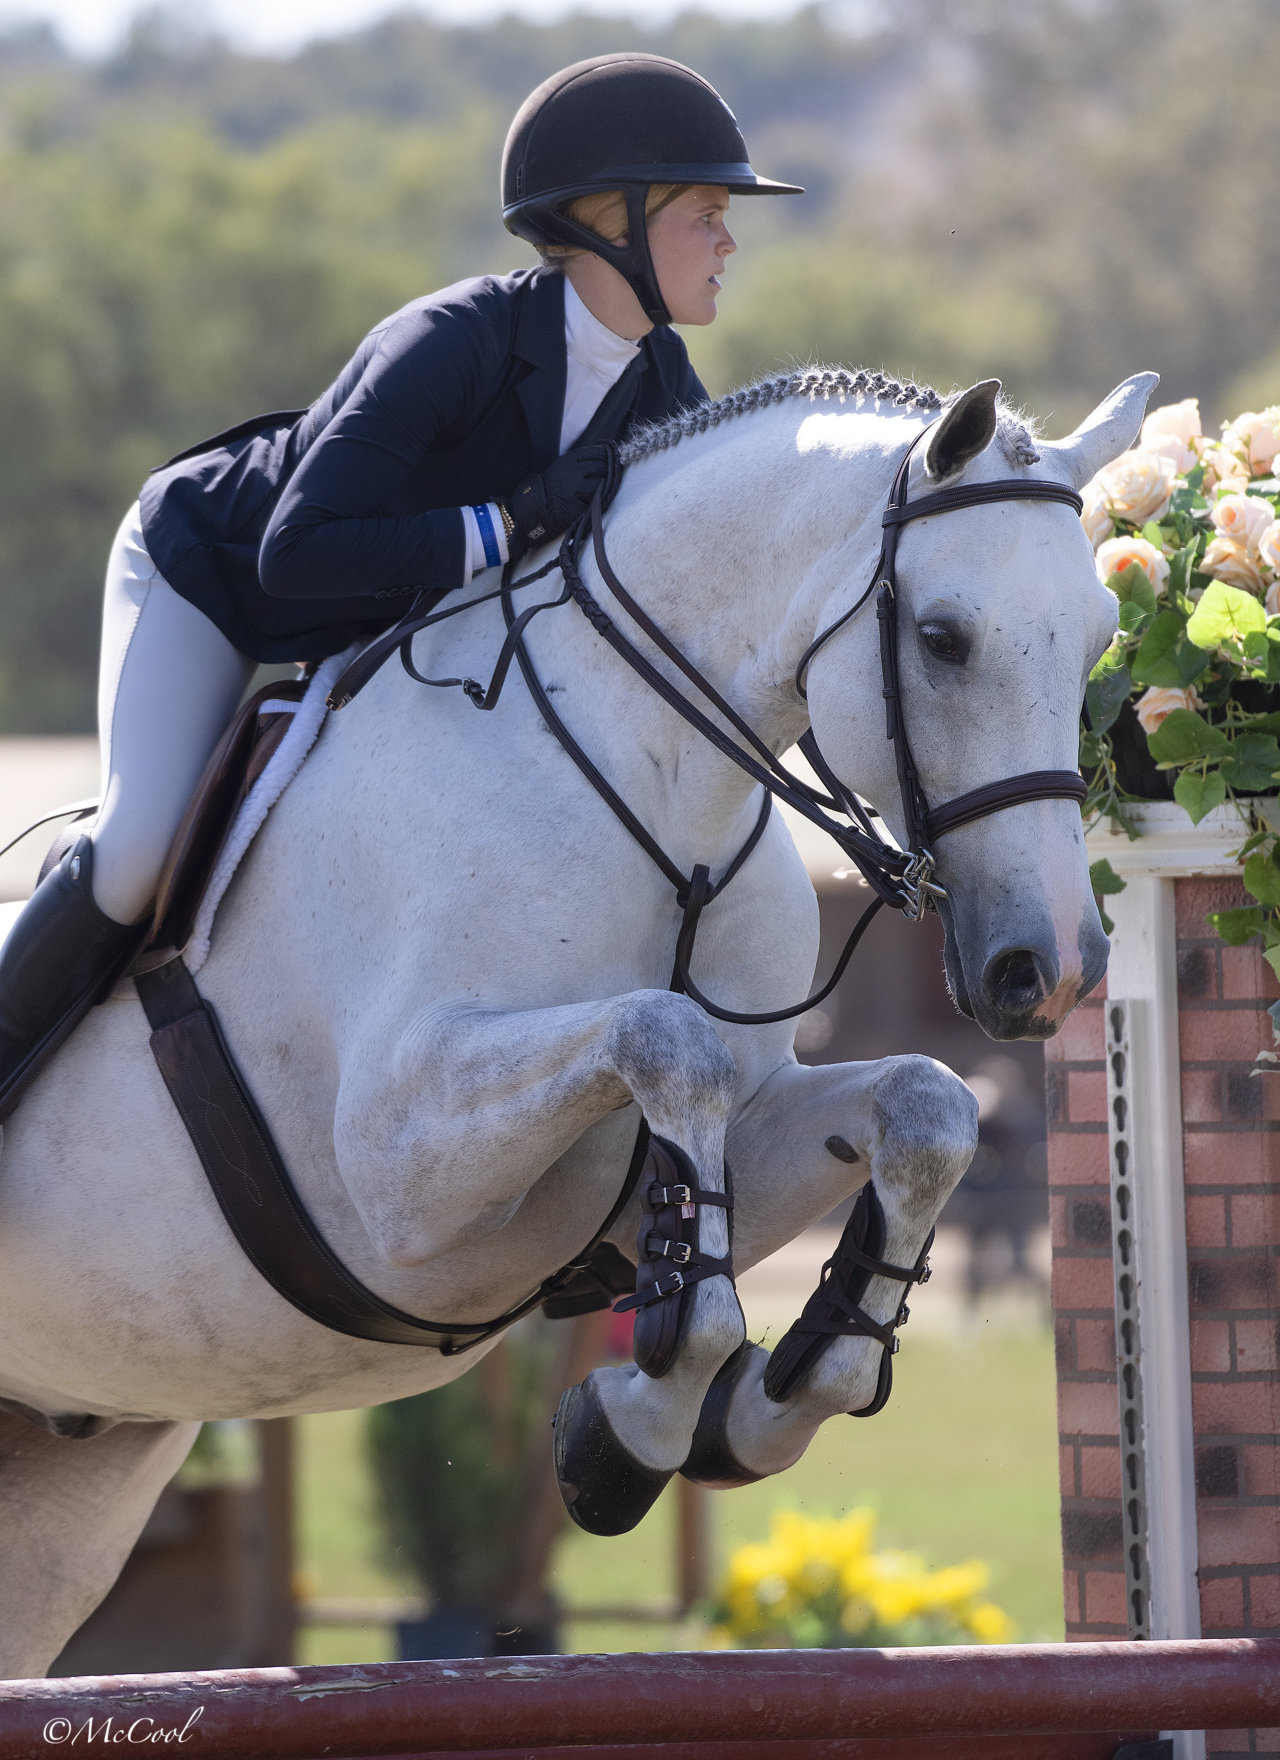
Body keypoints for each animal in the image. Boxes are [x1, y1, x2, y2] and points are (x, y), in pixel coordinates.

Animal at [0, 366, 1153, 1677]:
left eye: (1099, 639)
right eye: (941, 637)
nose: (1047, 966)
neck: (648, 778)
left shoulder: (741, 1113)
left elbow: (926, 1105)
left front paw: (769, 1395)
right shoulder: (393, 1173)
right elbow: (664, 1039)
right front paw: (634, 1425)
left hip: (74, 1473)